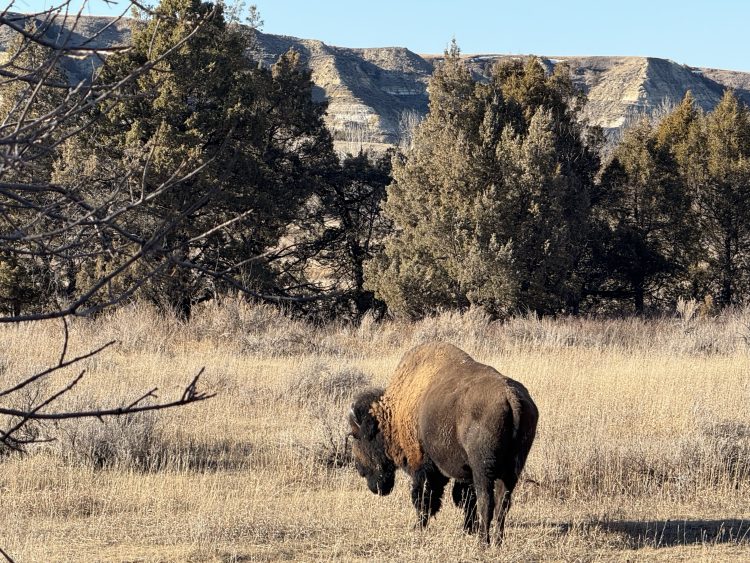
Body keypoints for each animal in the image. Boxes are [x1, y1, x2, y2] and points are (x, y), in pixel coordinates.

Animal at [349, 342, 538, 545]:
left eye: (356, 436)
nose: (360, 469)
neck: (395, 412)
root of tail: (510, 397)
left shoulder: (422, 466)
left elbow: (424, 497)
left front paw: (419, 527)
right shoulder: (464, 473)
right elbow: (464, 499)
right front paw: (467, 529)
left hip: (483, 468)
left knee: (487, 500)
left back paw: (483, 542)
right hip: (512, 468)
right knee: (503, 502)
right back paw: (496, 541)